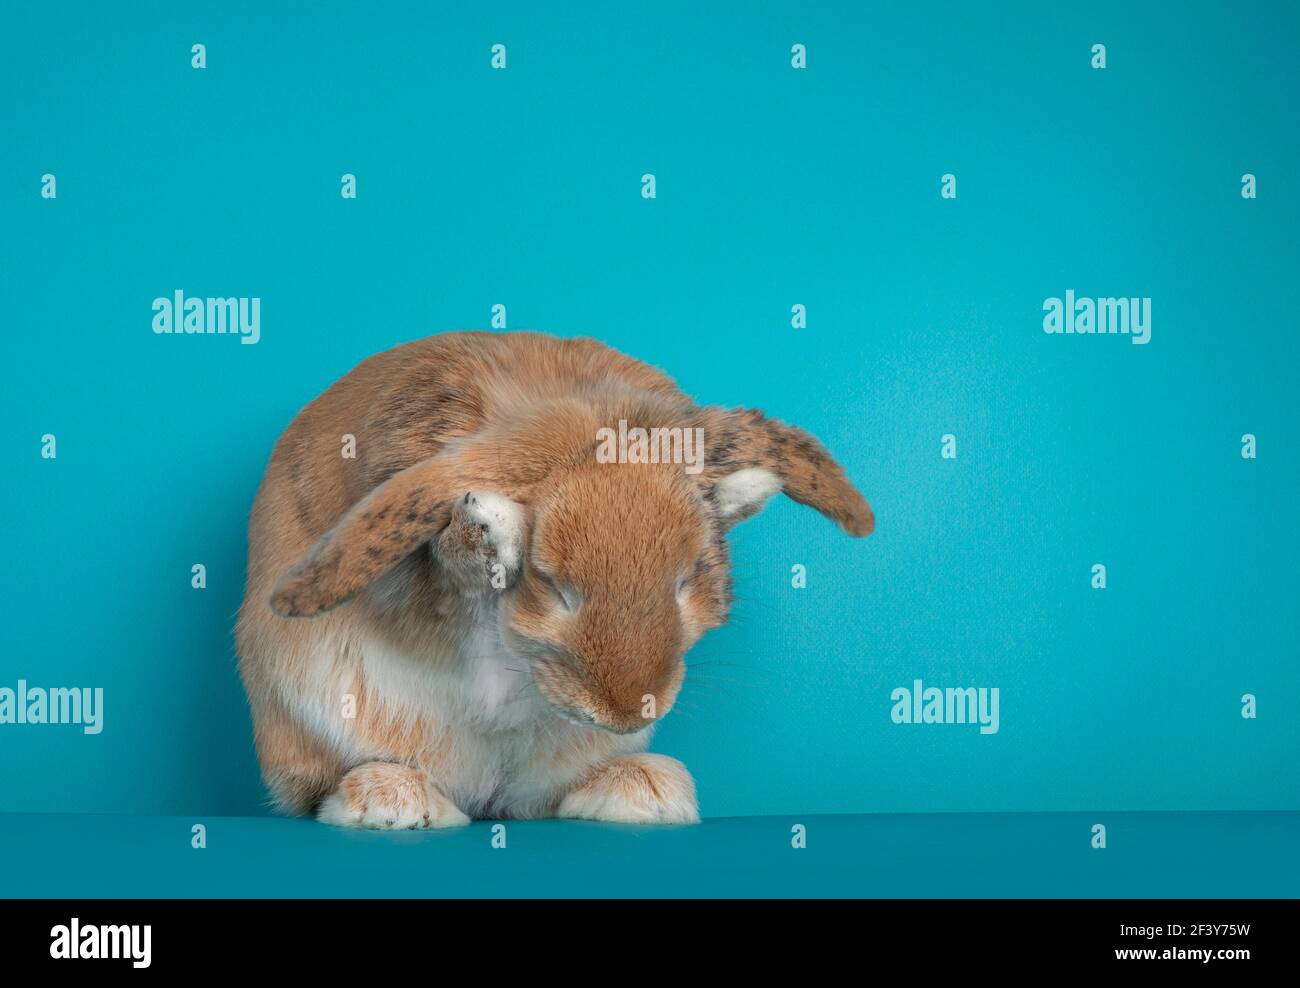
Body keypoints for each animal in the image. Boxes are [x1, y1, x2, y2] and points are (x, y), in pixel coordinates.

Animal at [236, 331, 873, 828]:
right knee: (319, 794)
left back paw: (641, 789)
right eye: (553, 584)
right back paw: (394, 800)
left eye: (685, 579)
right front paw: (490, 527)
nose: (628, 715)